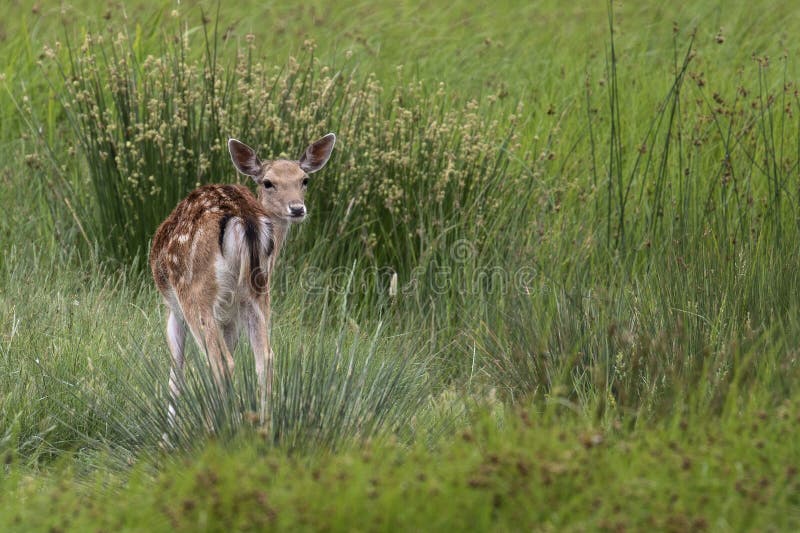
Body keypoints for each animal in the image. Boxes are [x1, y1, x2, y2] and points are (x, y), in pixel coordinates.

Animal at [149, 133, 336, 428]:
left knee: (221, 362)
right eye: (268, 182)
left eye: (304, 180)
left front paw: (169, 434)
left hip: (196, 296)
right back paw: (262, 426)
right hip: (258, 294)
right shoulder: (232, 317)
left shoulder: (173, 309)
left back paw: (220, 427)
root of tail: (245, 218)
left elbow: (176, 369)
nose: (297, 208)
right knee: (265, 358)